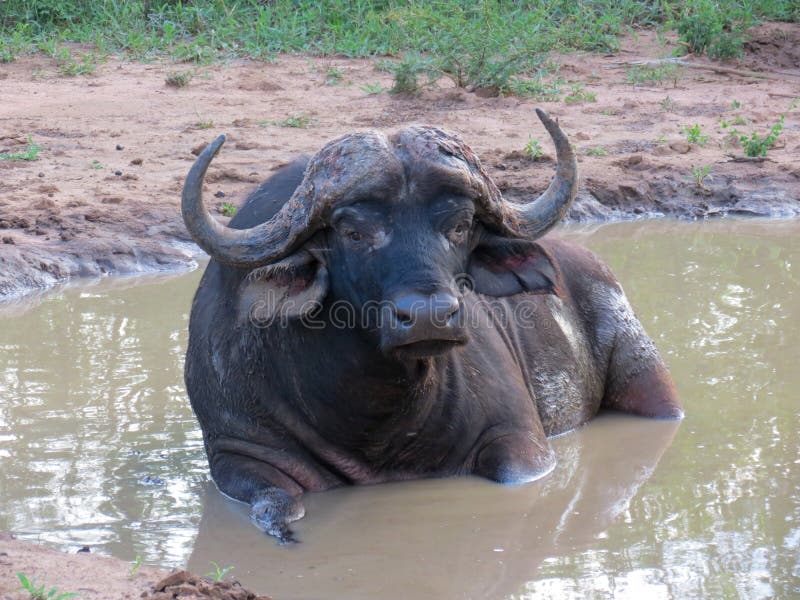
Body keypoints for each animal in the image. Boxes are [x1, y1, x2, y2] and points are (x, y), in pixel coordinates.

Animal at [182, 109, 683, 543]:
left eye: (459, 225)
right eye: (353, 232)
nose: (429, 316)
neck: (370, 414)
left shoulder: (522, 439)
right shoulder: (237, 452)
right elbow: (275, 501)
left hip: (651, 381)